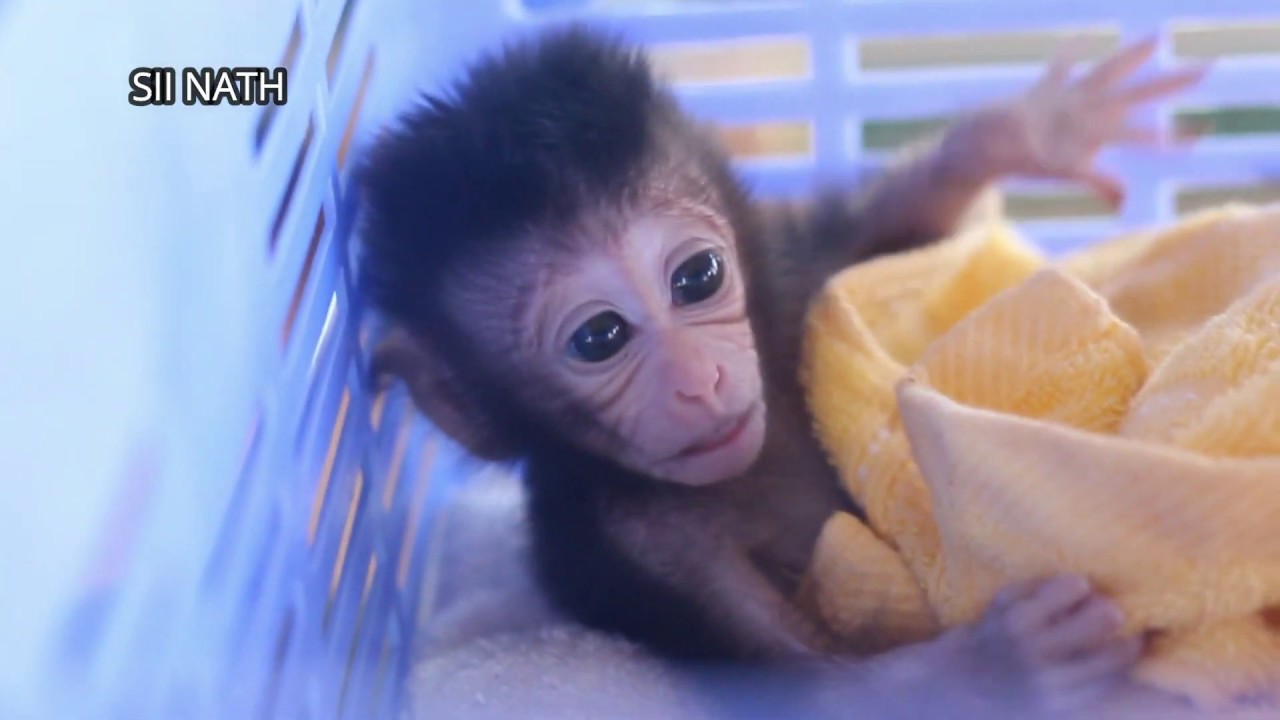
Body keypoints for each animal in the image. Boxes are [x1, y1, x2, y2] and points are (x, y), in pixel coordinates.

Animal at [358, 25, 1207, 717]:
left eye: (697, 278)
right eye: (599, 337)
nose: (699, 379)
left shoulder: (797, 299)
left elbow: (905, 242)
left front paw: (1033, 131)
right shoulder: (633, 544)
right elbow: (791, 684)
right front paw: (1004, 666)